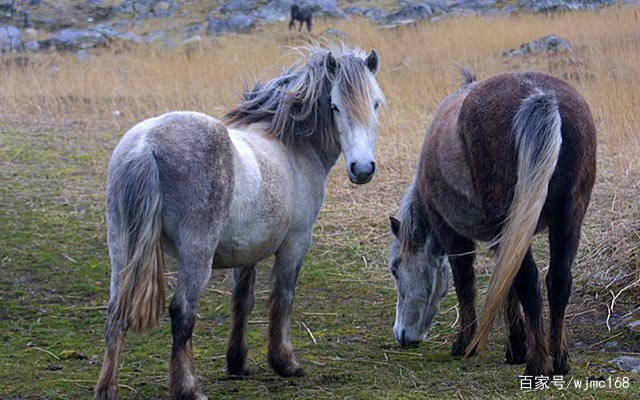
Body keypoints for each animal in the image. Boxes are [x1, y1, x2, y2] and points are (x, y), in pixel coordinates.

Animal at [94, 45, 383, 400]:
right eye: (335, 106)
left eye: (375, 103)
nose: (362, 169)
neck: (290, 146)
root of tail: (146, 144)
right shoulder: (295, 244)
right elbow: (283, 298)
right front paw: (285, 362)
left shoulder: (246, 252)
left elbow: (242, 302)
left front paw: (237, 362)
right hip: (196, 254)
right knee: (182, 312)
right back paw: (188, 389)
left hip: (121, 246)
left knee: (115, 312)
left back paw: (107, 388)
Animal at [388, 70, 596, 376]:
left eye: (395, 269)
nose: (402, 335)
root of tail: (541, 96)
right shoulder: (508, 238)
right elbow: (506, 286)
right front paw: (516, 347)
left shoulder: (452, 234)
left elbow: (465, 283)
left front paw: (464, 344)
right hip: (568, 219)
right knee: (558, 280)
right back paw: (558, 360)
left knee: (529, 280)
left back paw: (537, 364)